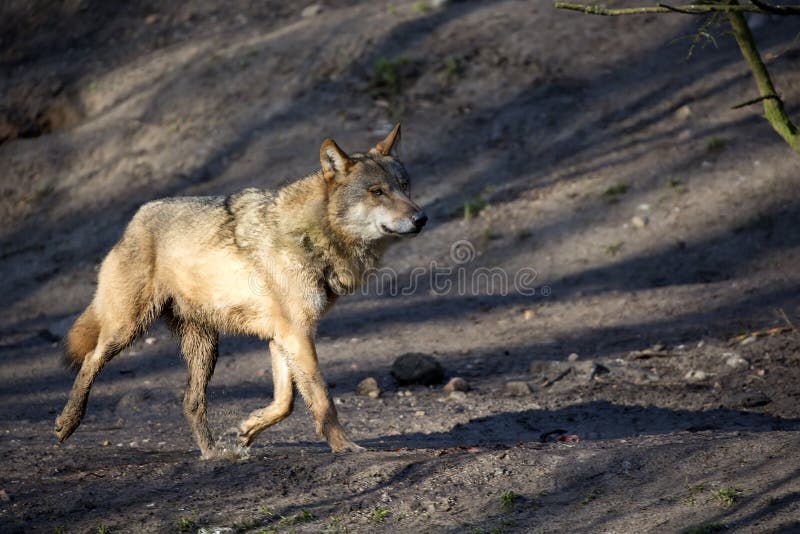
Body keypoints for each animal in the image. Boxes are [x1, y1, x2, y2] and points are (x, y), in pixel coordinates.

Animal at [55, 124, 427, 458]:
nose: (421, 218)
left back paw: (214, 455)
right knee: (89, 361)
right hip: (127, 329)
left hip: (206, 349)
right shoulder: (297, 334)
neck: (312, 236)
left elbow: (286, 402)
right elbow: (322, 400)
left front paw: (249, 430)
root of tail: (135, 219)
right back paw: (67, 423)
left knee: (190, 402)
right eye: (377, 192)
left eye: (404, 186)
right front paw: (345, 447)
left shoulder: (283, 337)